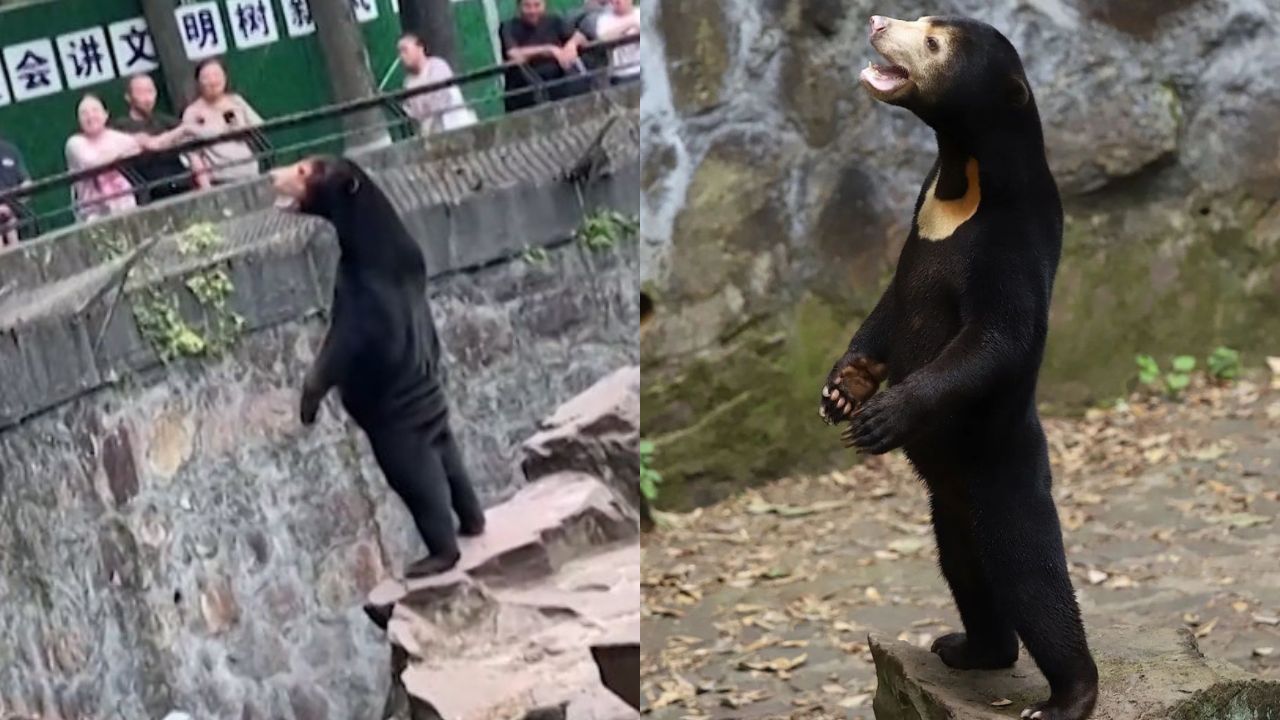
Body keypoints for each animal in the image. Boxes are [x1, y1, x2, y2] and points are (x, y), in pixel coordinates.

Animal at [271, 155, 487, 579]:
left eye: (304, 170)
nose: (272, 176)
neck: (370, 237)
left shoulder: (362, 293)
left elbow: (338, 350)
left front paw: (307, 408)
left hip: (399, 440)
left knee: (423, 489)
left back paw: (433, 559)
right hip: (443, 437)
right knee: (457, 474)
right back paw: (474, 523)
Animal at [817, 15, 1098, 720]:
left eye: (933, 43)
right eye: (924, 20)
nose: (876, 21)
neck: (961, 175)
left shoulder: (1009, 241)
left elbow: (996, 337)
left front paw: (881, 418)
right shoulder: (918, 223)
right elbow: (890, 305)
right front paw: (842, 391)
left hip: (1002, 473)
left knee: (1032, 576)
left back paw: (1068, 696)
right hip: (950, 507)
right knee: (966, 568)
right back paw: (969, 648)